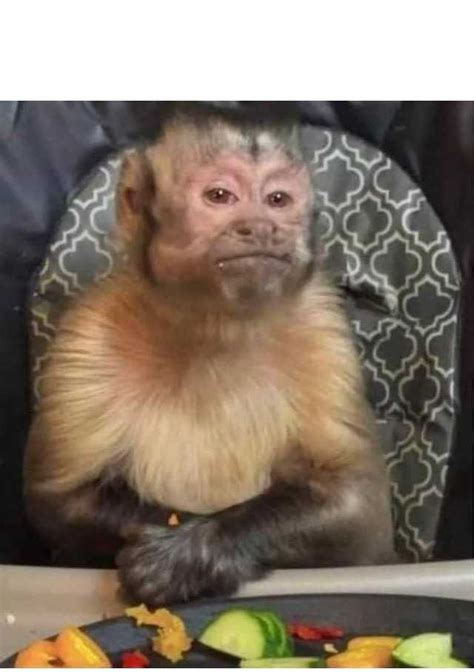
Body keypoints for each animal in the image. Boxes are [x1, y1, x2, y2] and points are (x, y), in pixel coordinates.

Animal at [24, 106, 395, 606]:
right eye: (220, 196)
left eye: (277, 199)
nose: (261, 226)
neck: (213, 328)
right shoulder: (88, 336)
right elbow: (57, 499)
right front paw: (177, 536)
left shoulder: (323, 334)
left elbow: (360, 509)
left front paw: (192, 550)